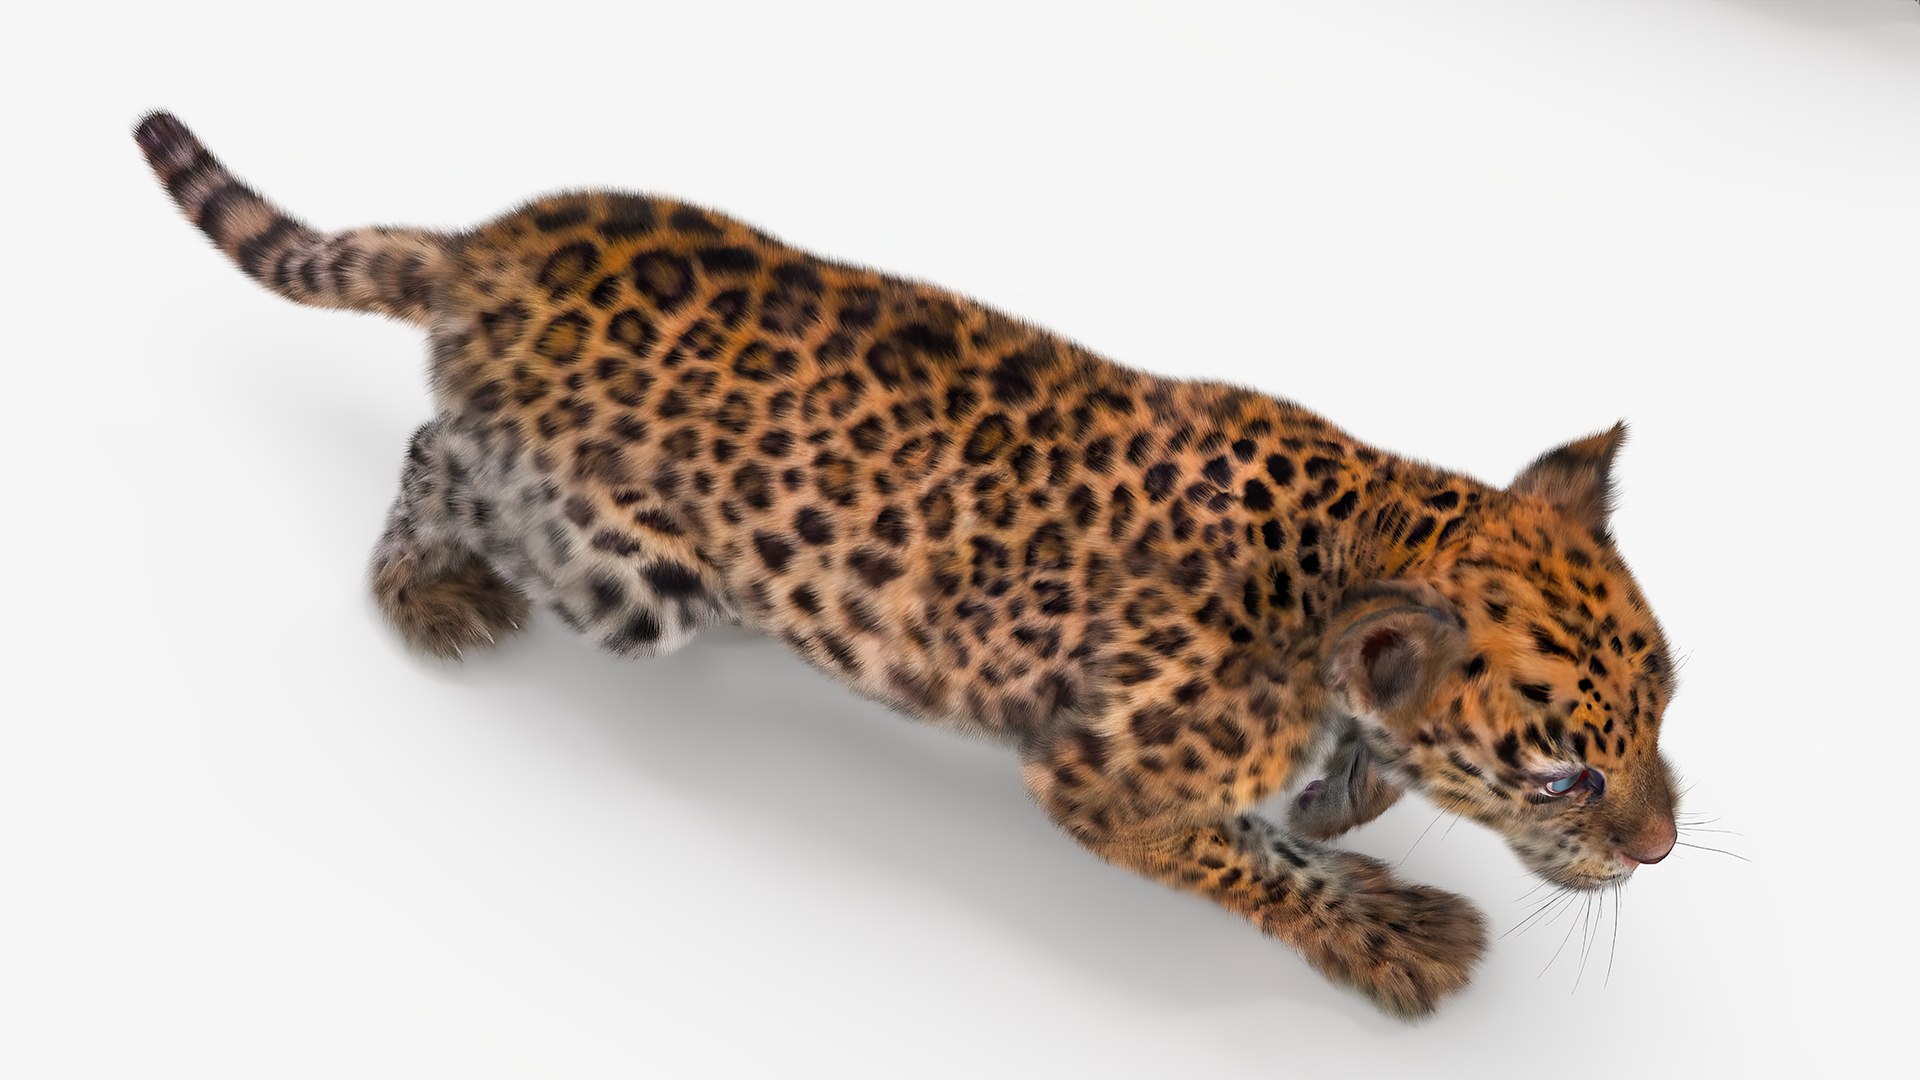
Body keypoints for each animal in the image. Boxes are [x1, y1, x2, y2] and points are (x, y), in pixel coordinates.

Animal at [135, 111, 1683, 1018]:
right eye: (1561, 776)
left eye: (1664, 715)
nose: (1662, 847)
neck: (1378, 524)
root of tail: (485, 256)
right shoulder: (1101, 783)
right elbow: (1253, 860)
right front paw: (1391, 930)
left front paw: (1351, 805)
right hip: (625, 580)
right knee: (434, 455)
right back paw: (430, 585)